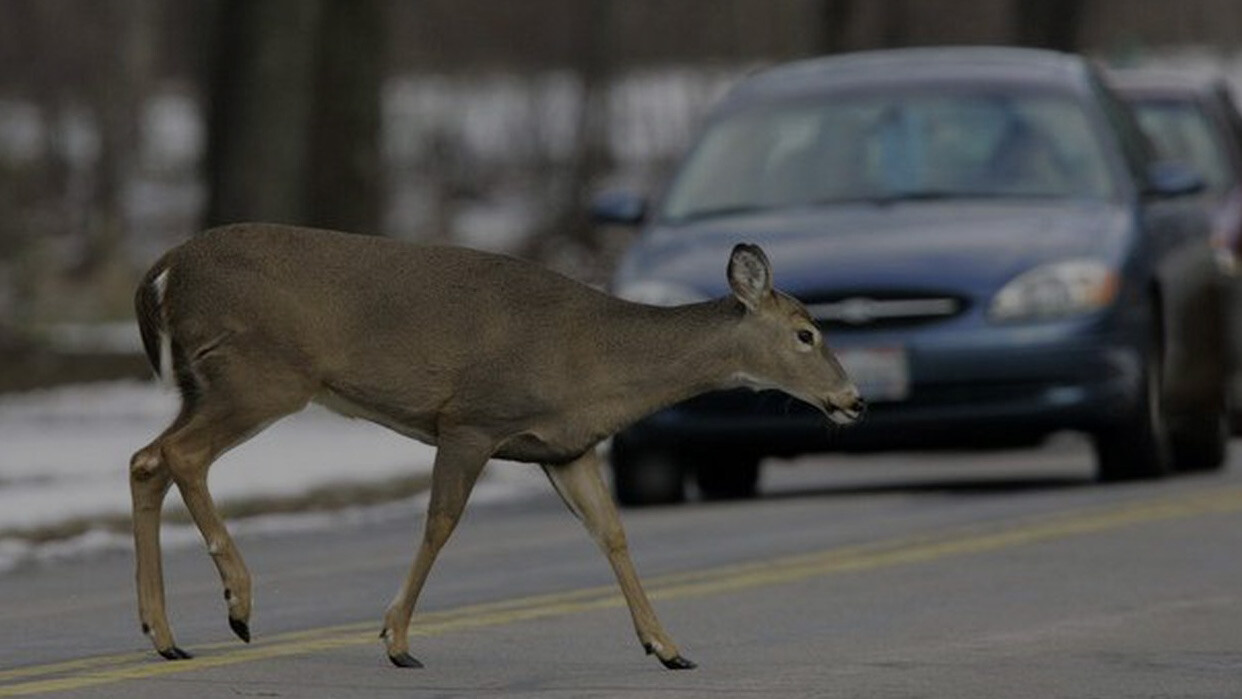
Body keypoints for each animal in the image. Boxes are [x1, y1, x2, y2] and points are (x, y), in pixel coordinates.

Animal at [128, 223, 864, 669]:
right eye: (805, 333)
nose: (853, 398)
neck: (595, 362)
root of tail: (163, 269)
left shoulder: (565, 449)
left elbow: (613, 533)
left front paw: (667, 645)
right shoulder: (471, 420)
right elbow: (441, 522)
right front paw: (396, 638)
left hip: (208, 385)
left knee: (146, 459)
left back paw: (163, 634)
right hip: (261, 374)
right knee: (181, 456)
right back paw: (237, 601)